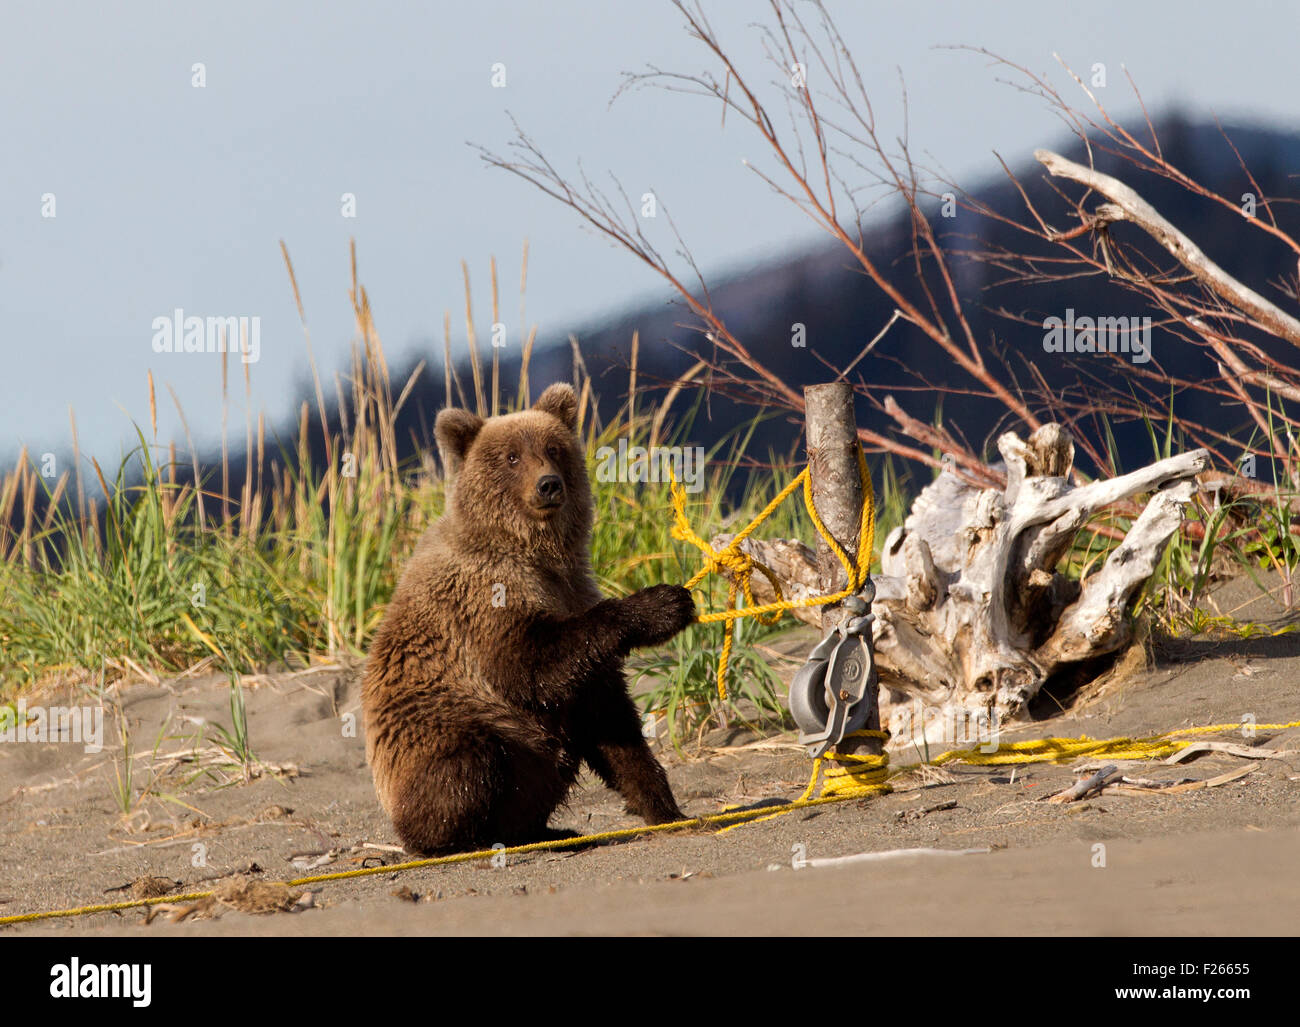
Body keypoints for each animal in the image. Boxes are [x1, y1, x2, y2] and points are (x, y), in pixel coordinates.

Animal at [362, 382, 696, 854]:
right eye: (511, 457)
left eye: (553, 448)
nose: (548, 484)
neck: (535, 552)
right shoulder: (483, 597)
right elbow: (527, 663)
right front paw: (662, 604)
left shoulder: (571, 591)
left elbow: (611, 721)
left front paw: (665, 808)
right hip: (444, 733)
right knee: (471, 764)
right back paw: (460, 840)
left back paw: (548, 830)